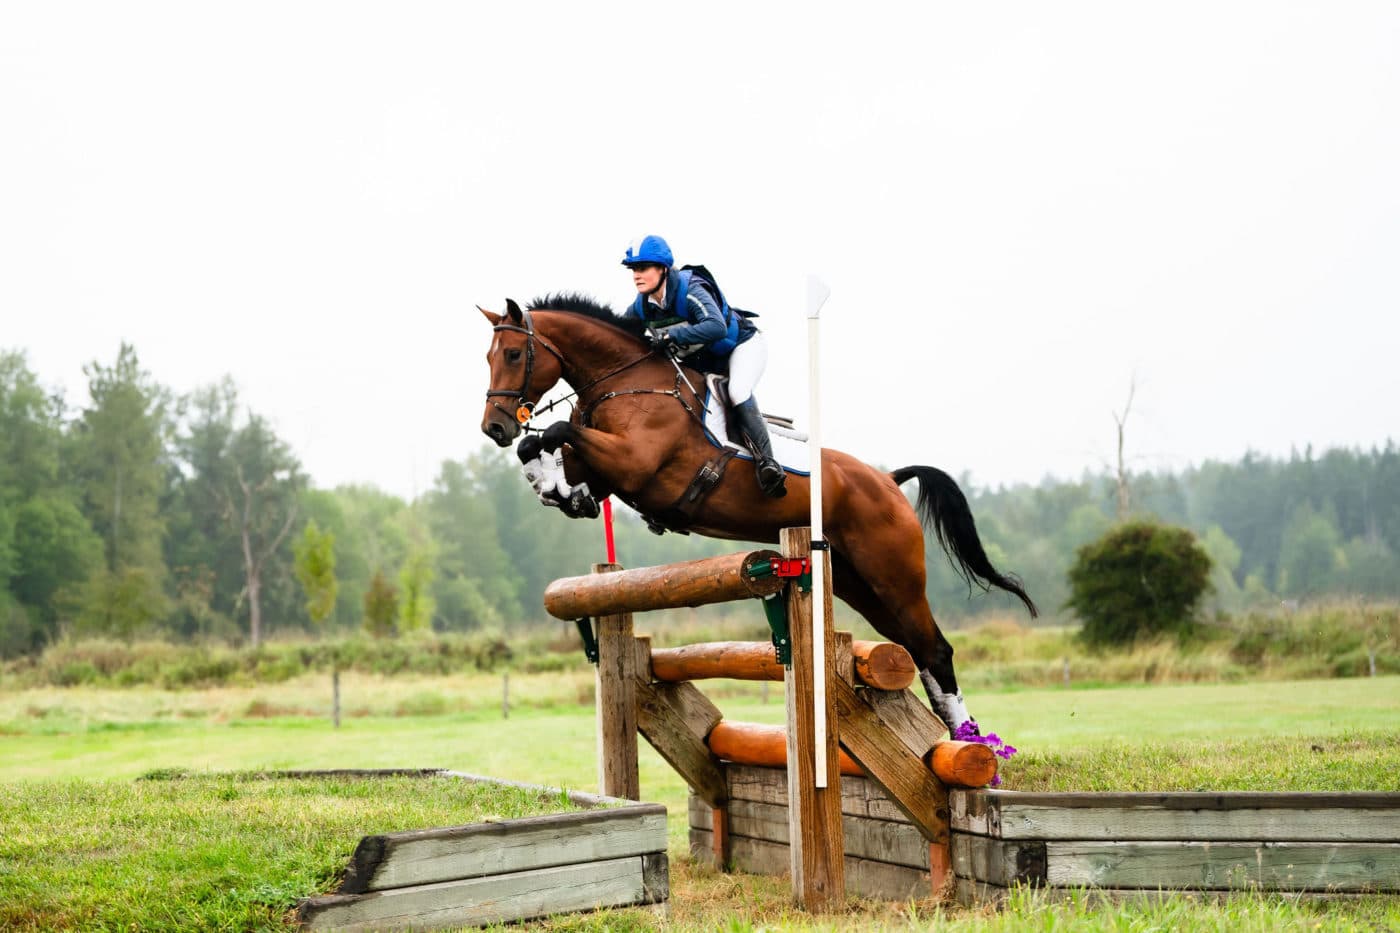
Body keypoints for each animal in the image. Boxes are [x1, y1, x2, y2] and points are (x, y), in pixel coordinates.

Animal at [478, 294, 1037, 735]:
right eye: (488, 357)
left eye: (513, 353)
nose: (495, 427)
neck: (627, 381)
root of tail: (887, 481)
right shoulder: (607, 470)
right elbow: (543, 448)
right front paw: (558, 489)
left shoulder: (635, 463)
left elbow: (556, 432)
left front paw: (554, 482)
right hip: (858, 583)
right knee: (916, 648)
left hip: (892, 573)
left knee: (935, 649)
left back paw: (972, 744)